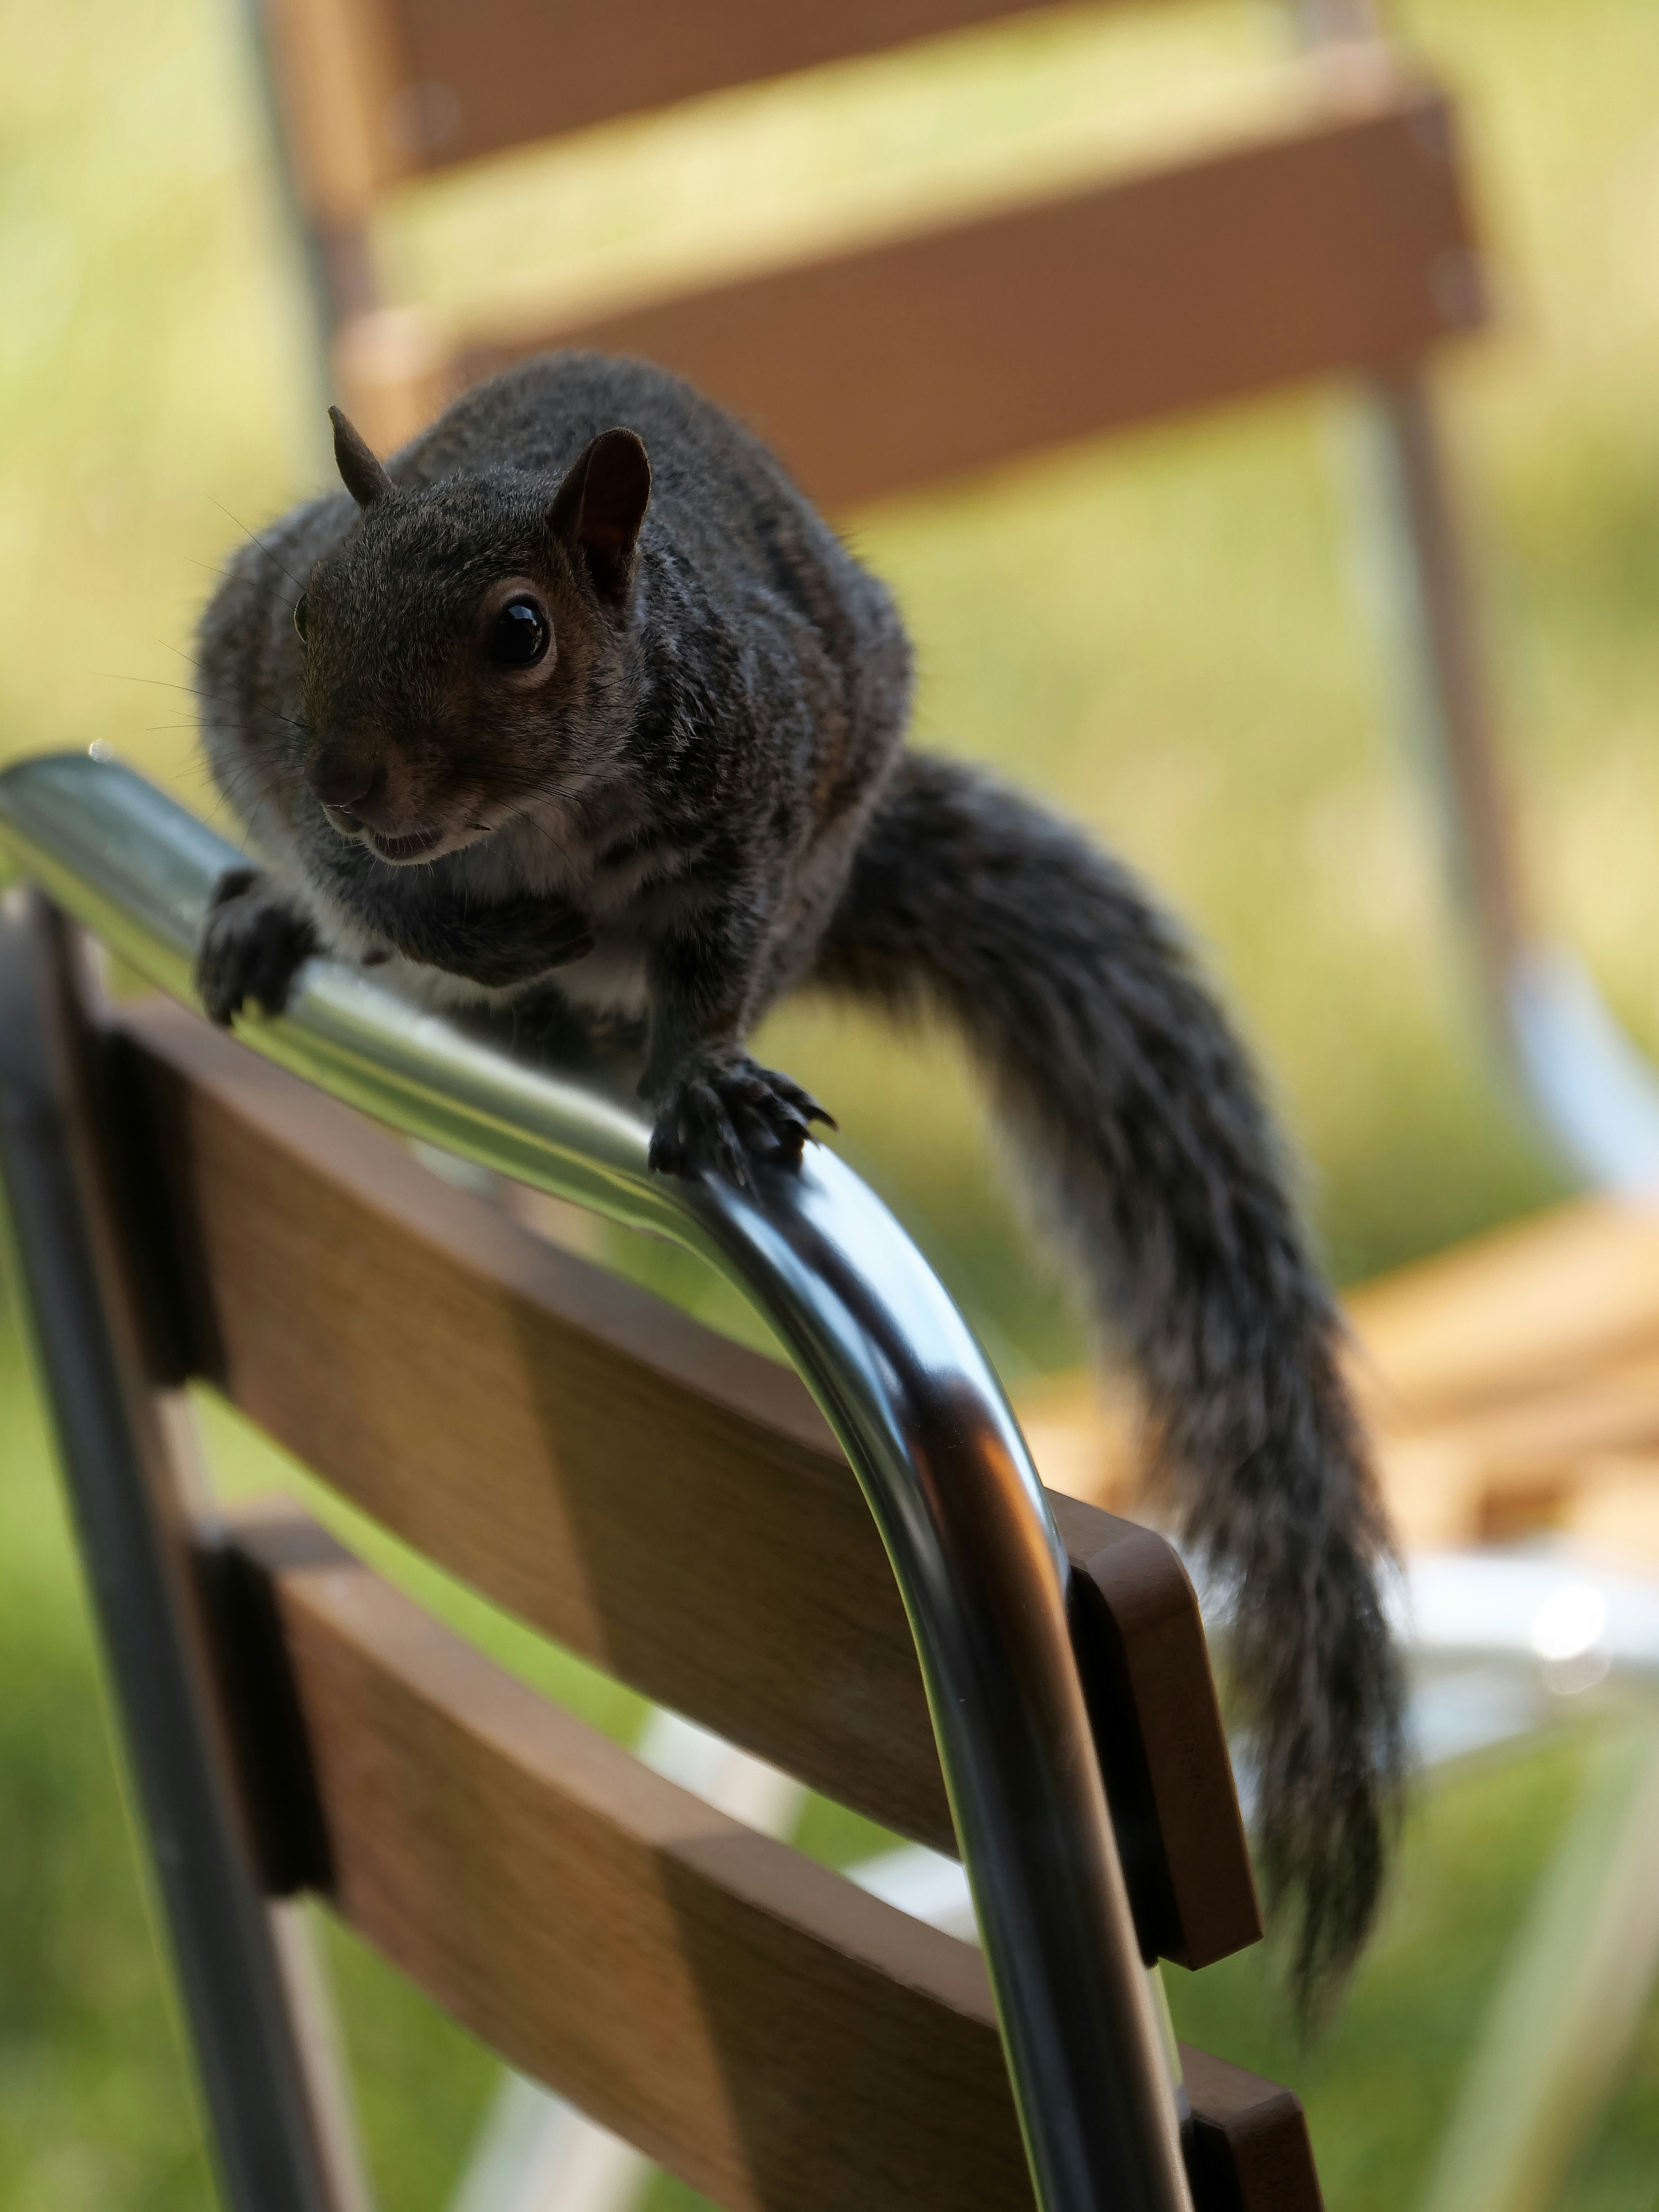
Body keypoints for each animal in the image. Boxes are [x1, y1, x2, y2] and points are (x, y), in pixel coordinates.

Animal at [195, 349, 1401, 2013]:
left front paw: (697, 1069)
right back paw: (299, 920)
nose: (350, 778)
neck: (539, 819)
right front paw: (422, 915)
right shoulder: (265, 690)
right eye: (317, 605)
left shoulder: (756, 806)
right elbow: (370, 881)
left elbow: (711, 963)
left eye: (521, 632)